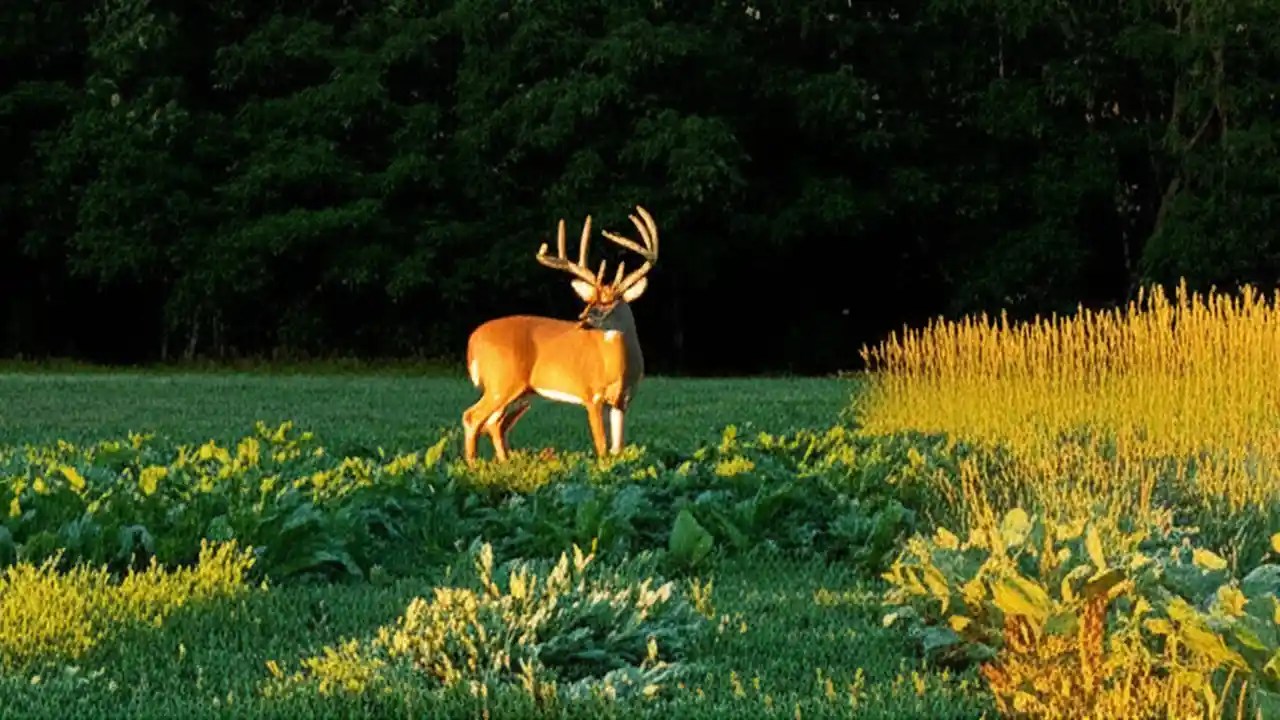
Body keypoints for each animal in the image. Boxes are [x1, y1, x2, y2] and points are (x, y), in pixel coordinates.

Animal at [461, 205, 659, 465]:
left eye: (610, 301)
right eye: (589, 300)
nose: (583, 319)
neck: (618, 368)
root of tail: (472, 340)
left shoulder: (622, 401)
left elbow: (618, 448)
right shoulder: (591, 394)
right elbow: (602, 446)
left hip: (520, 392)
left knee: (496, 423)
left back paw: (504, 462)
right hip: (500, 381)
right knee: (473, 416)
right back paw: (473, 466)